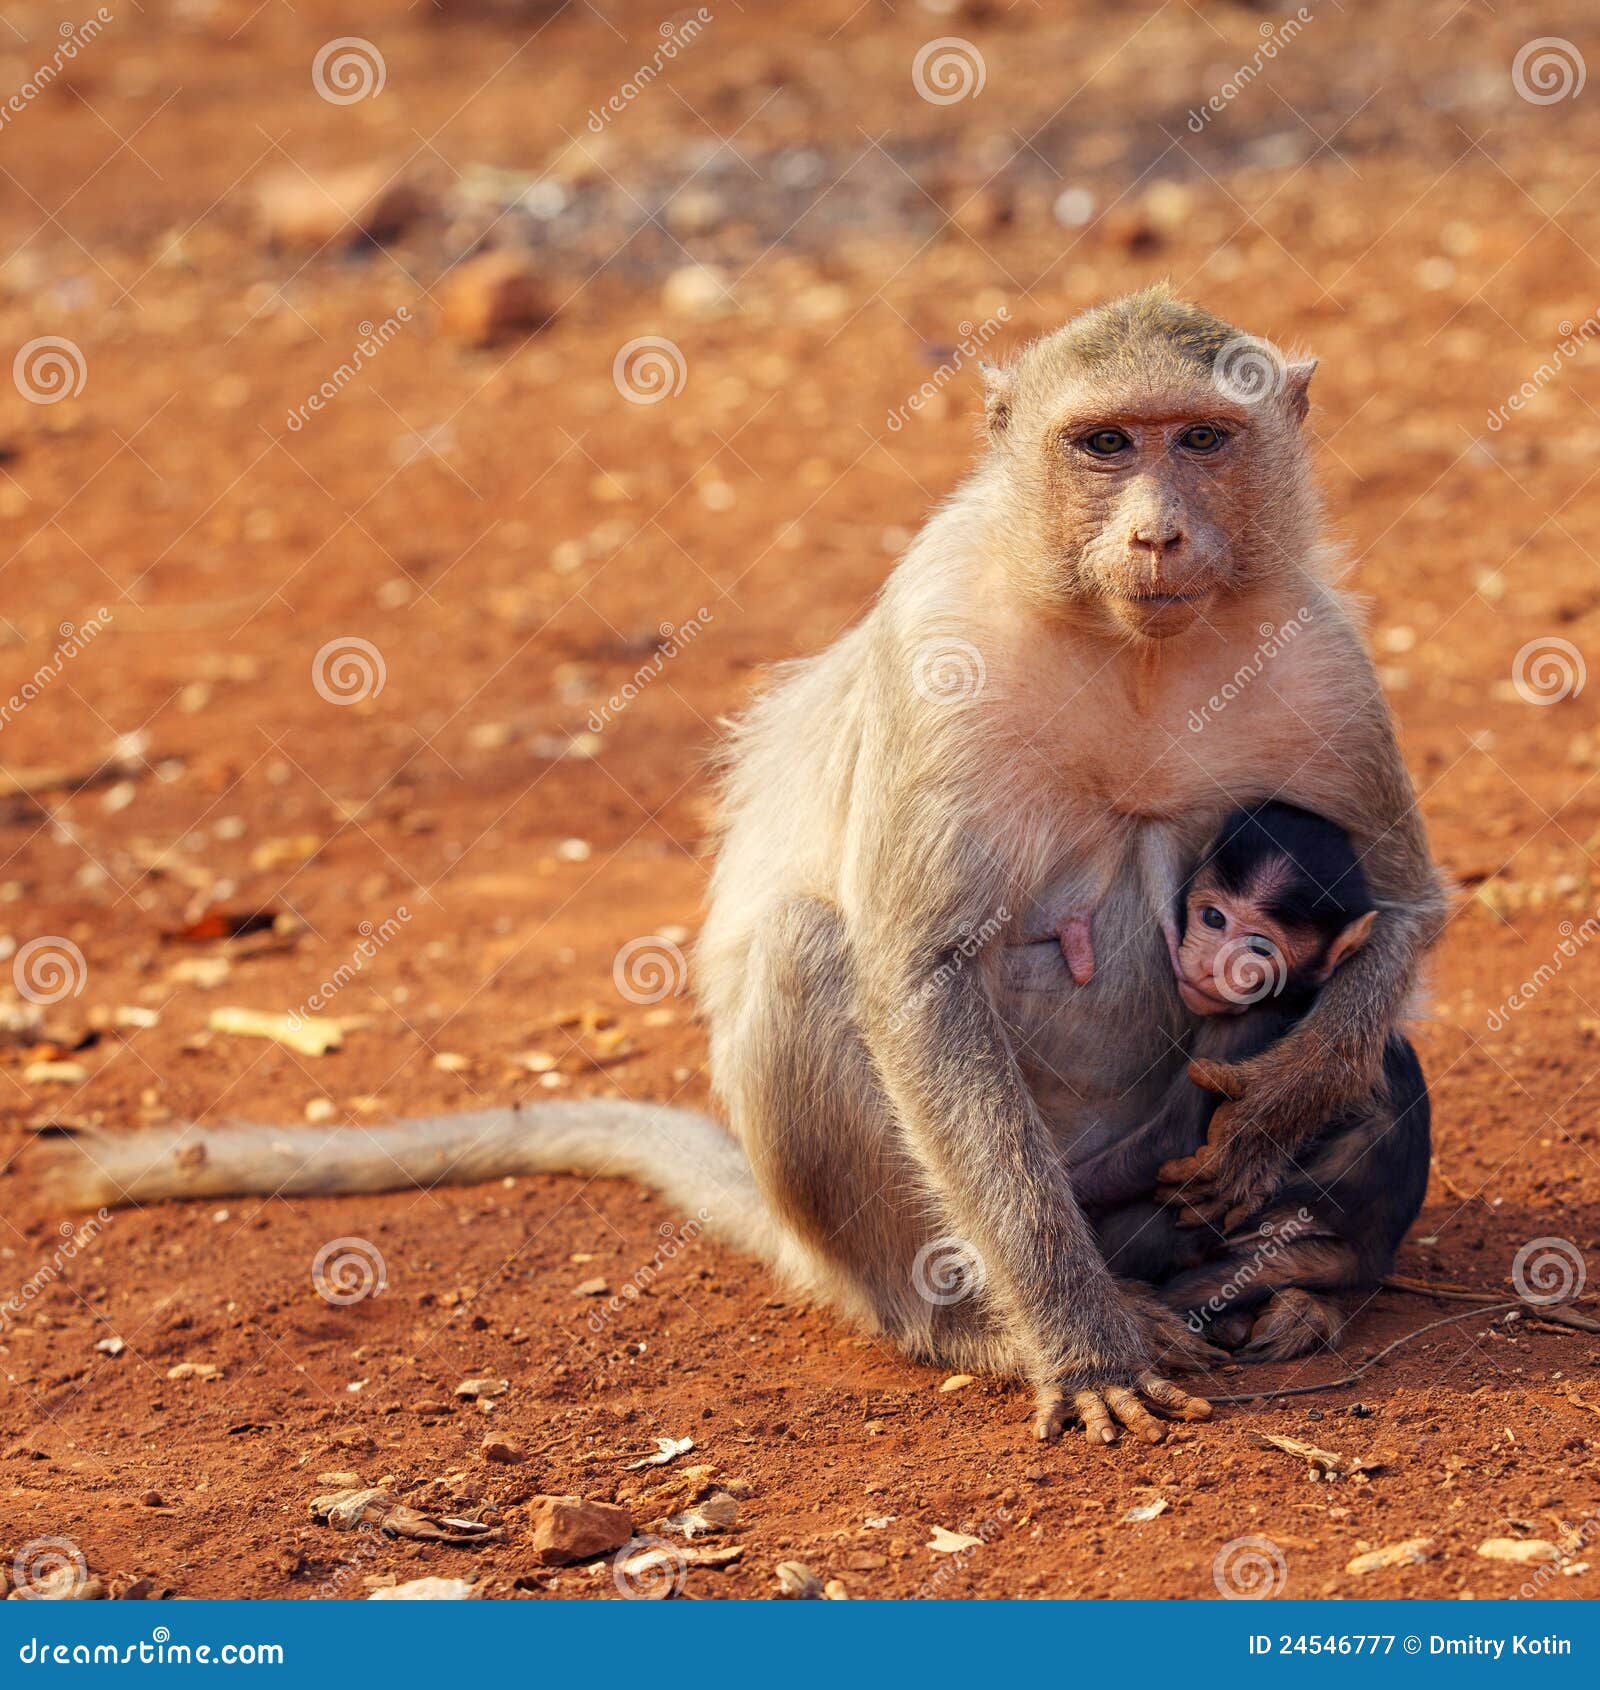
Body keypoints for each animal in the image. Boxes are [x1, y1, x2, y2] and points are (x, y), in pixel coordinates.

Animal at [1069, 801, 1431, 1360]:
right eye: (1214, 918)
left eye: (1260, 950)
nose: (1214, 966)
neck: (1294, 992)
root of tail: (1369, 1250)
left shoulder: (1242, 1023)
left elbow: (1173, 1141)